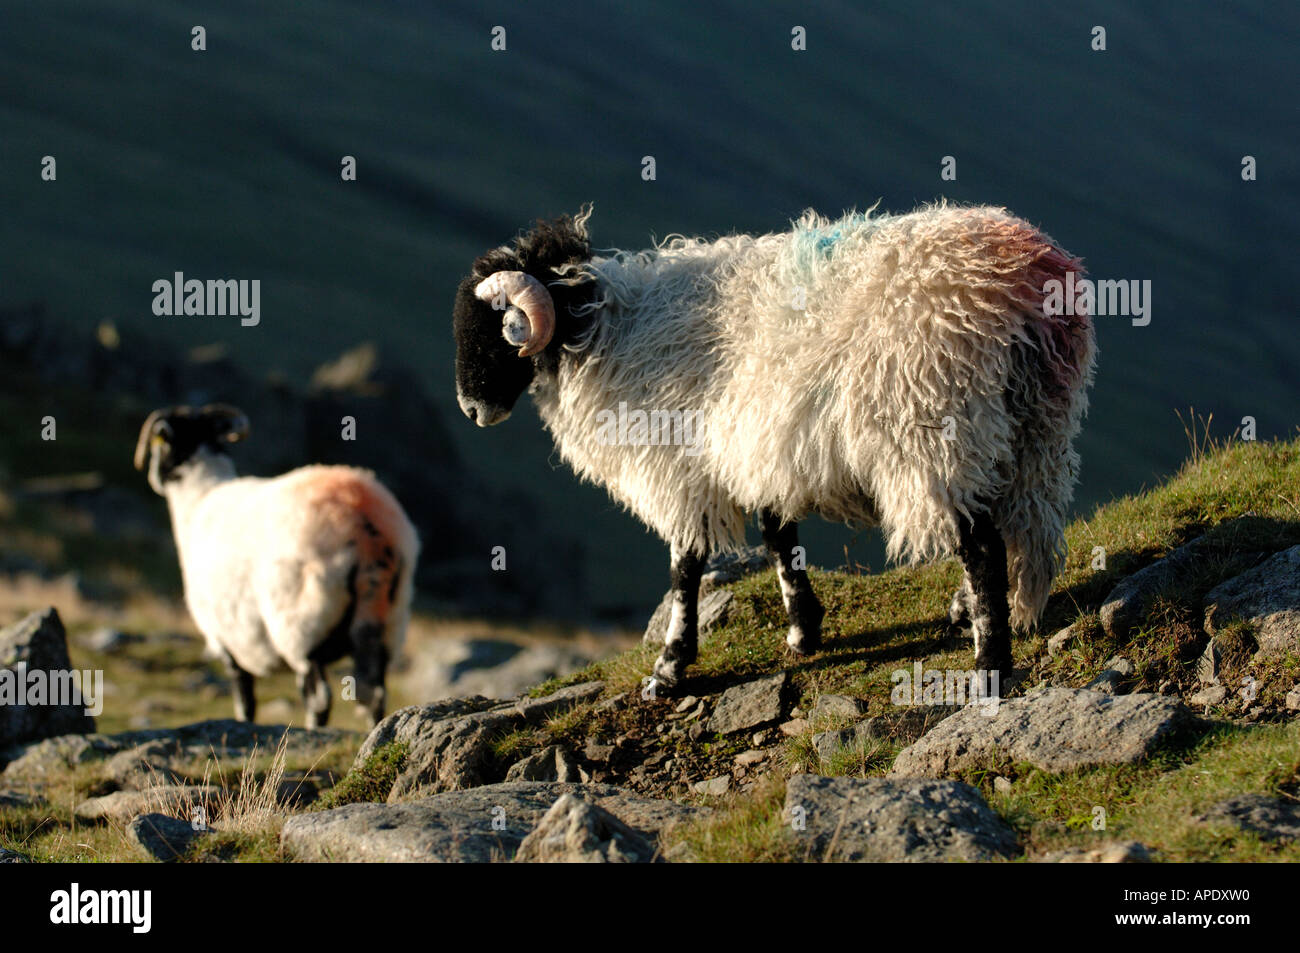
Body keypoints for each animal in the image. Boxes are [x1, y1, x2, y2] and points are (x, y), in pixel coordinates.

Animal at [133, 404, 419, 727]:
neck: (199, 497)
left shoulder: (228, 643)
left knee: (318, 697)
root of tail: (365, 527)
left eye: (157, 448)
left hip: (302, 625)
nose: (152, 477)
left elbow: (245, 704)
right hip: (386, 619)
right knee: (374, 694)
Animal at [452, 203, 1095, 694]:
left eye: (494, 330)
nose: (470, 411)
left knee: (979, 543)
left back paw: (990, 666)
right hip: (1035, 430)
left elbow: (685, 568)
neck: (604, 332)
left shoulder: (684, 471)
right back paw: (990, 612)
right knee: (1023, 526)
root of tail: (1023, 279)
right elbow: (778, 537)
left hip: (932, 430)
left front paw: (670, 669)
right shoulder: (757, 449)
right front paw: (804, 631)